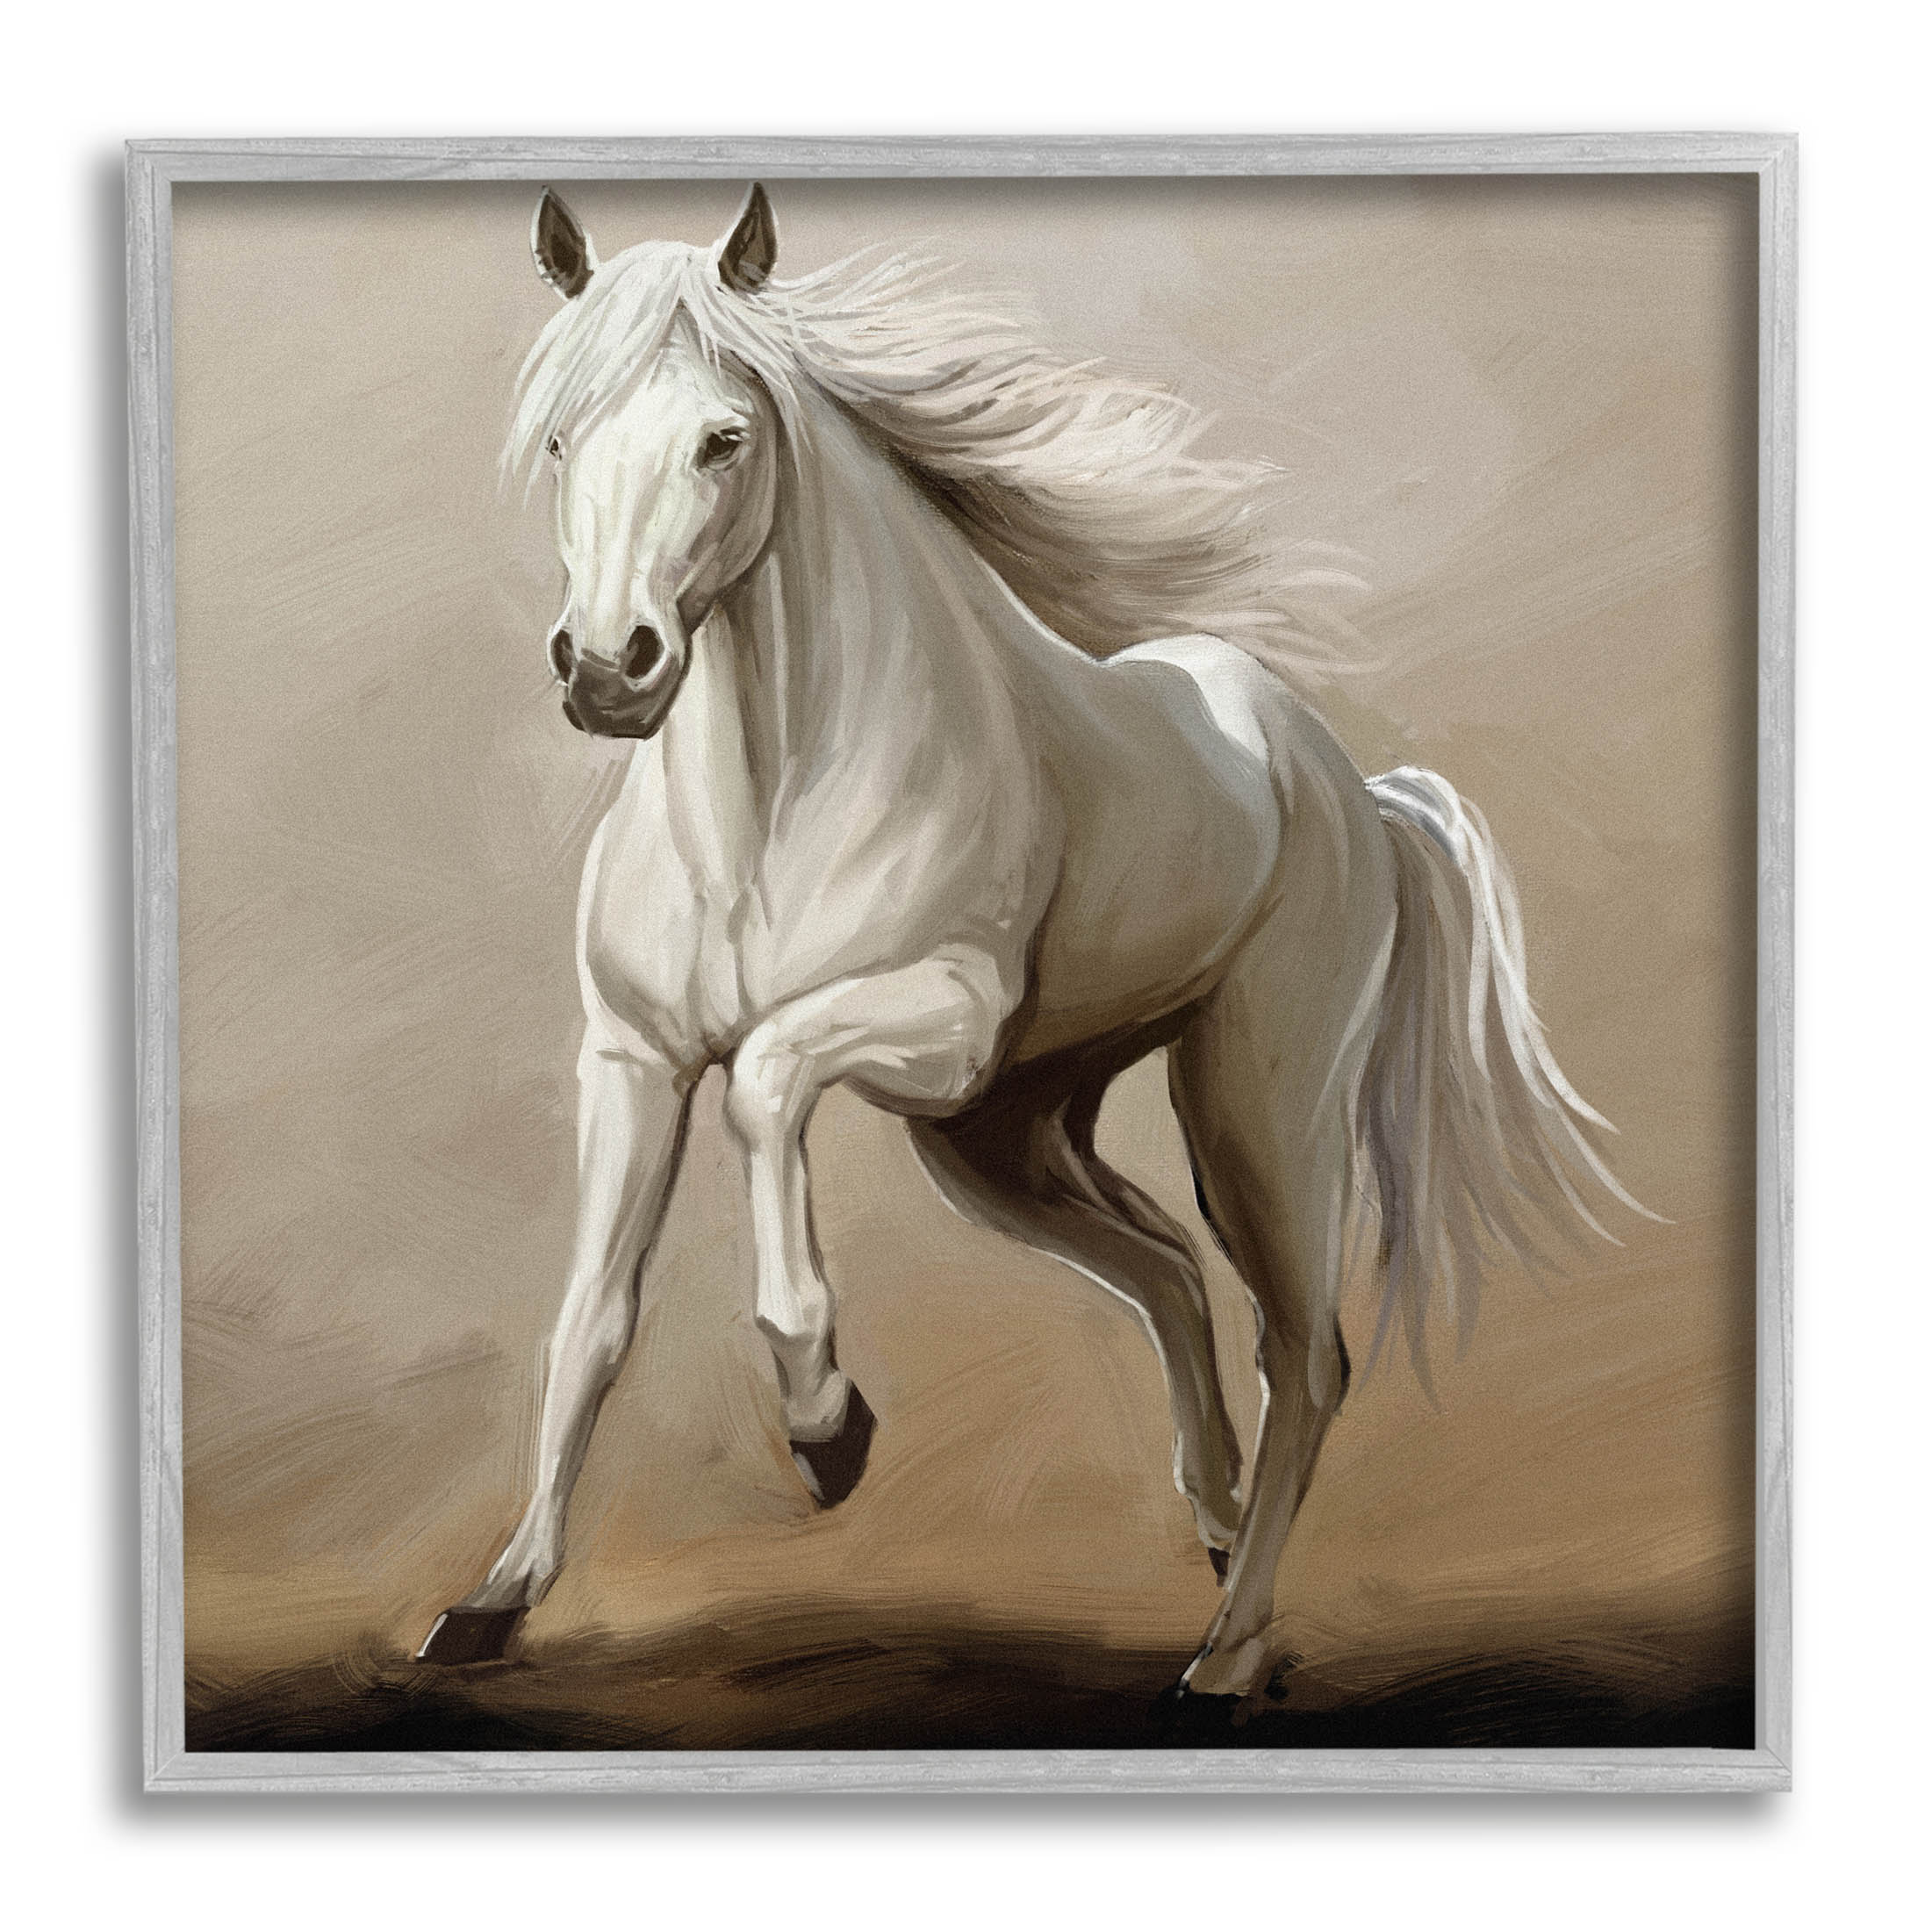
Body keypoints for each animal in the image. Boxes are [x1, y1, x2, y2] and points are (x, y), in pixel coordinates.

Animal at [415, 184, 1644, 1713]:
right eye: (562, 436)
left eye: (723, 437)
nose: (606, 671)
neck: (764, 814)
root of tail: (1348, 791)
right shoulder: (634, 1063)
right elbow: (589, 1319)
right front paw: (494, 1602)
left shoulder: (935, 1024)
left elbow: (766, 1082)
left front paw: (826, 1426)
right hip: (1006, 1136)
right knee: (1167, 1271)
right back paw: (1214, 1530)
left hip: (1252, 1108)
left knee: (1305, 1354)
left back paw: (1227, 1655)